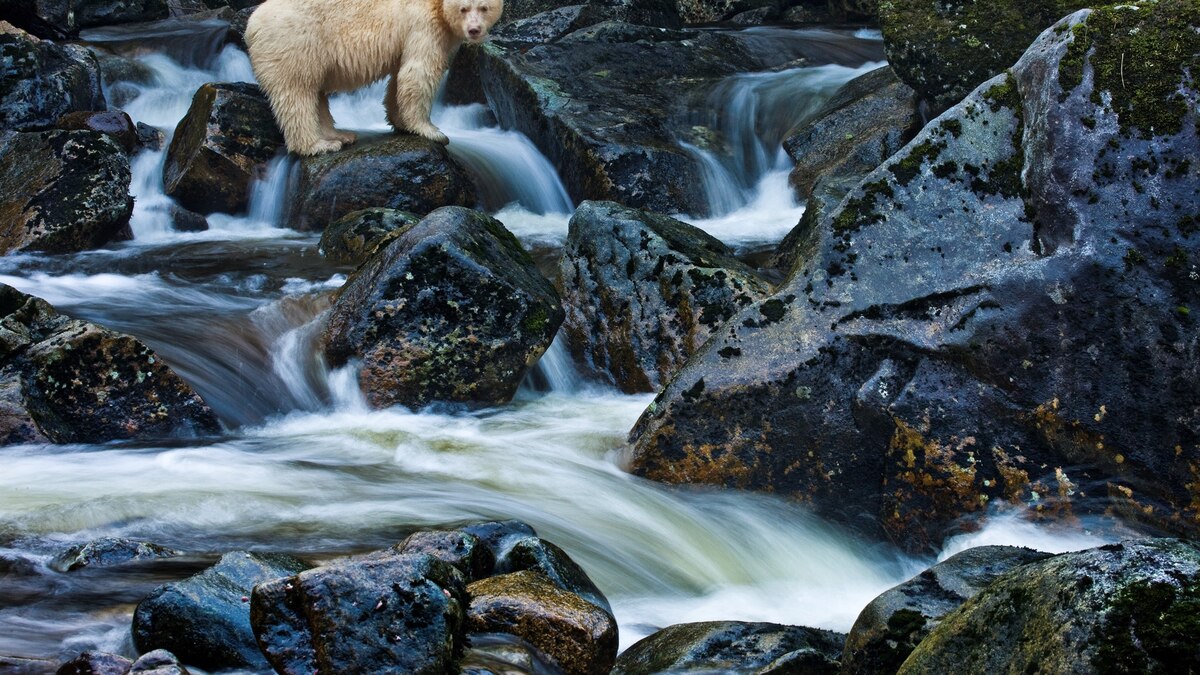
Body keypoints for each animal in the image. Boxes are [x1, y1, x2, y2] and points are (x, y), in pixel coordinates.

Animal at [245, 0, 502, 156]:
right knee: (298, 92)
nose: (474, 30)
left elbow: (400, 76)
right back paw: (319, 144)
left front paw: (400, 121)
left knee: (316, 93)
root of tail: (252, 26)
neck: (437, 7)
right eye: (464, 8)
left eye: (484, 7)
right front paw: (432, 131)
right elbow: (418, 72)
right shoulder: (423, 24)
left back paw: (340, 135)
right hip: (295, 43)